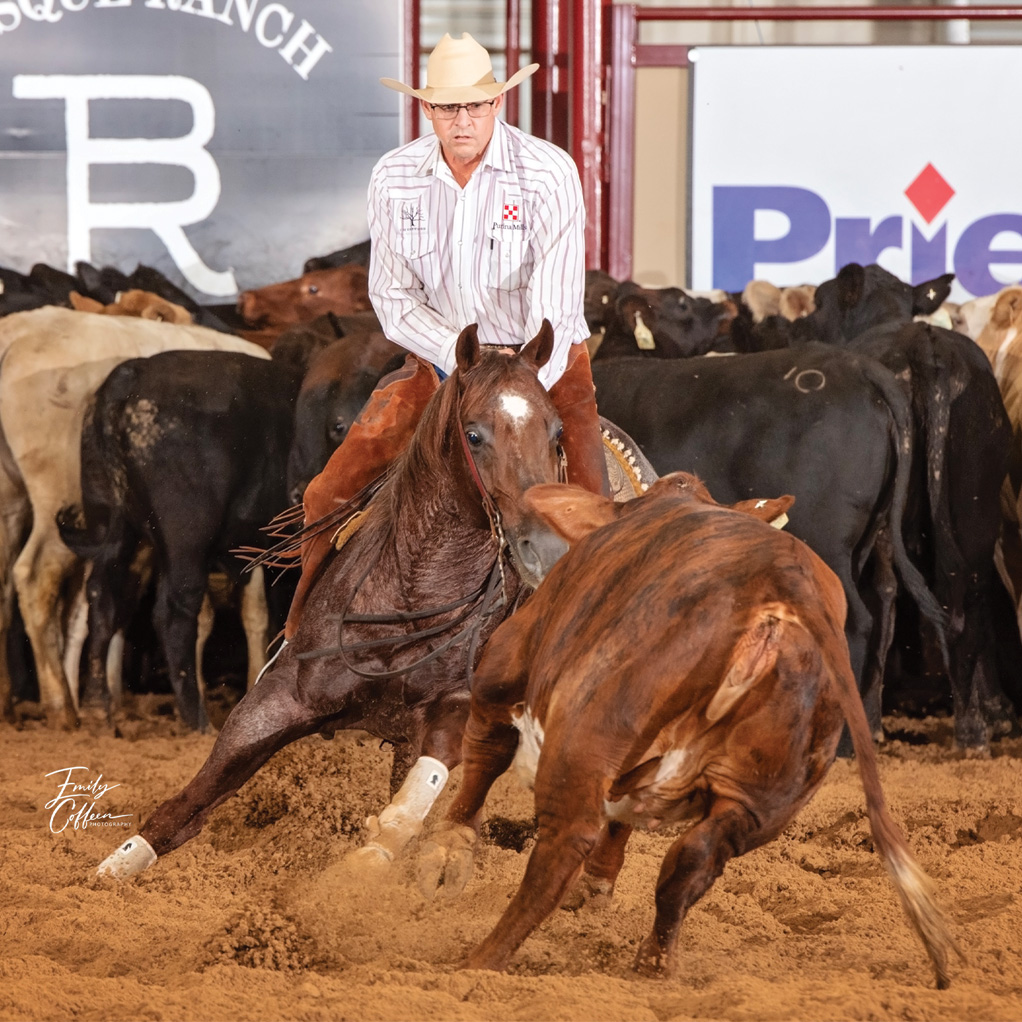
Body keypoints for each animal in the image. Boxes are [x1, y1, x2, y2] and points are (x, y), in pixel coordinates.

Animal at [97, 321, 570, 879]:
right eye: (474, 434)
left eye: (557, 434)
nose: (544, 546)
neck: (414, 595)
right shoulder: (281, 696)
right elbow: (194, 797)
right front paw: (114, 868)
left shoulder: (455, 708)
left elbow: (413, 801)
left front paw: (364, 868)